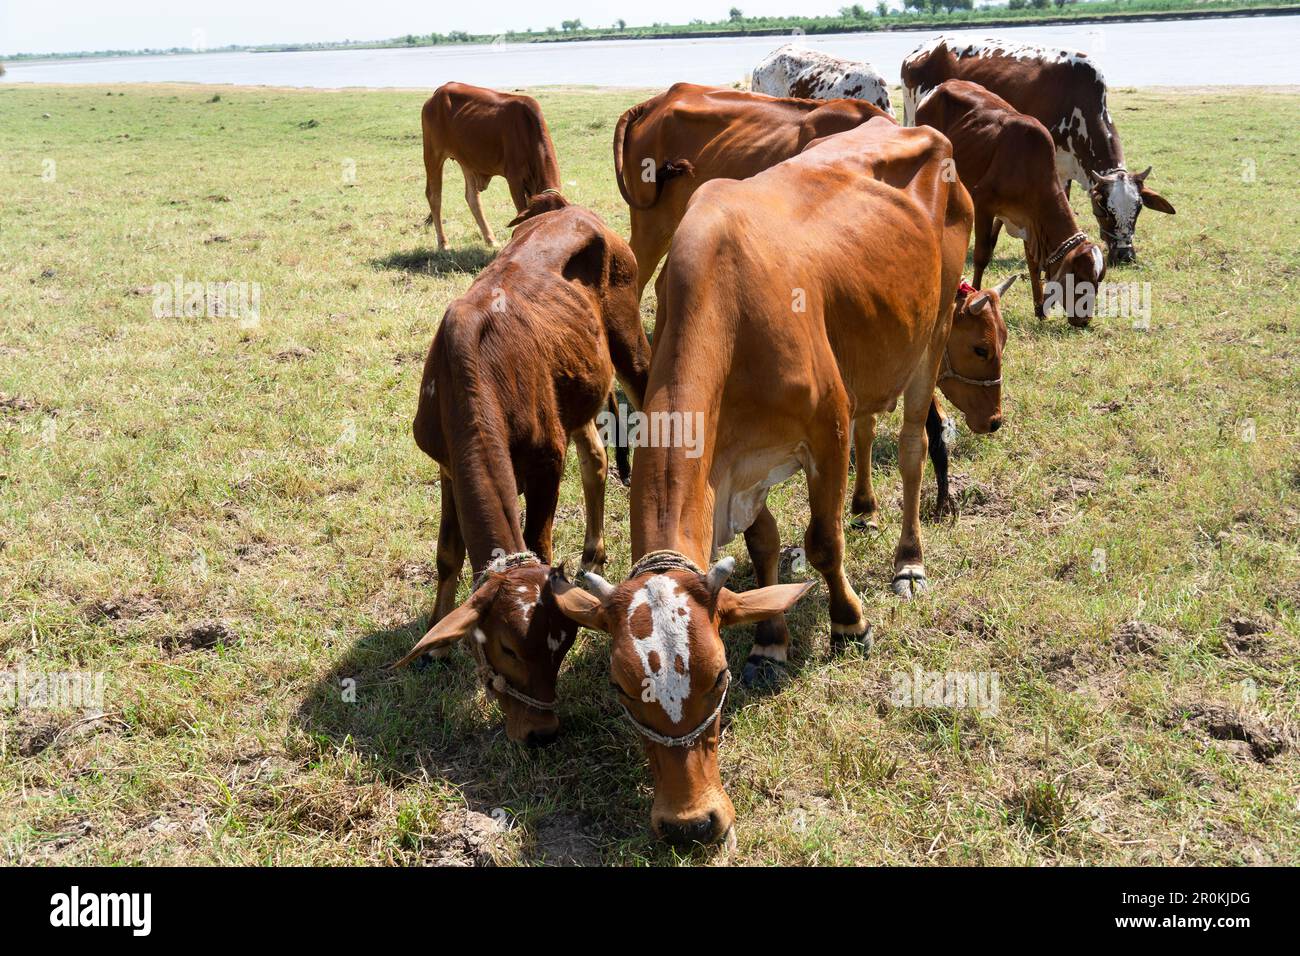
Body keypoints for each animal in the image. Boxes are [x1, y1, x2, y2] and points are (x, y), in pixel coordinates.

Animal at [390, 195, 651, 747]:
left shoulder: (546, 458)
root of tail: (568, 207)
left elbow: (540, 538)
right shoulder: (446, 464)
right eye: (506, 647)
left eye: (565, 645)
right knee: (596, 458)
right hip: (577, 390)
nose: (542, 732)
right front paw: (437, 639)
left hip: (628, 342)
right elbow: (447, 554)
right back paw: (593, 552)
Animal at [420, 82, 563, 251]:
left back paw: (490, 239)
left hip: (466, 159)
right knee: (434, 196)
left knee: (472, 198)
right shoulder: (514, 179)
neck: (528, 129)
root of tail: (439, 91)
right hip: (433, 154)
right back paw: (444, 243)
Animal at [553, 120, 1009, 846]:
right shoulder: (738, 469)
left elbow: (821, 542)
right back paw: (867, 509)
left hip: (931, 336)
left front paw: (849, 620)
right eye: (623, 688)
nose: (690, 824)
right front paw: (771, 637)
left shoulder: (825, 427)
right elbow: (764, 545)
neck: (732, 309)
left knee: (914, 446)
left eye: (716, 678)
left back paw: (907, 557)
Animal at [916, 79, 1105, 327]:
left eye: (1098, 280)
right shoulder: (983, 204)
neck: (1027, 167)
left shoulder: (1029, 219)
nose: (1084, 321)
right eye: (1081, 277)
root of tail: (941, 86)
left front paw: (1040, 310)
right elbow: (982, 256)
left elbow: (1033, 264)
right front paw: (974, 295)